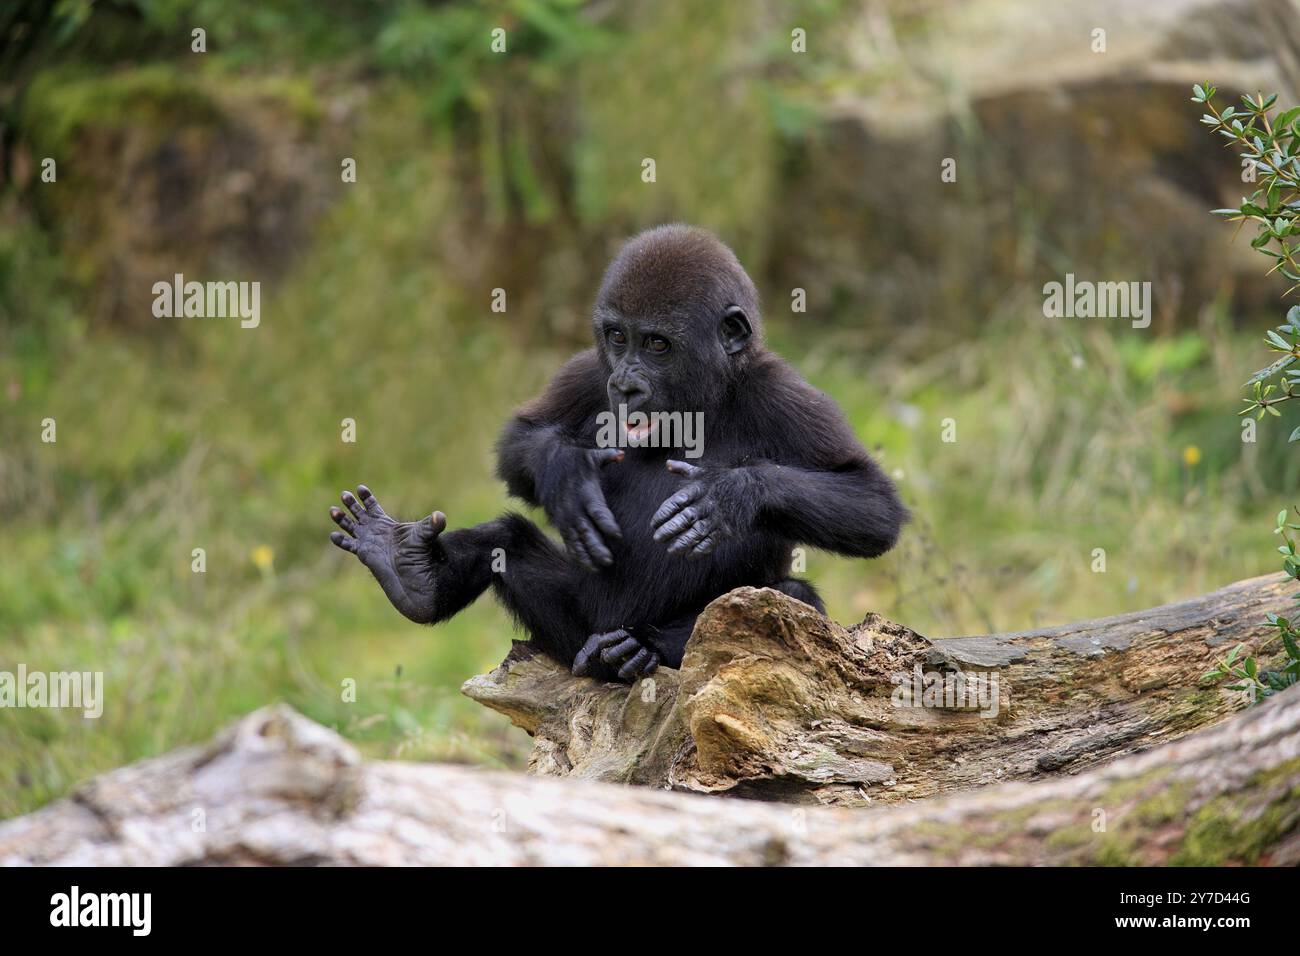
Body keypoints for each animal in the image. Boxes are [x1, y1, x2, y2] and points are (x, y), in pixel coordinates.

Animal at [328, 224, 908, 683]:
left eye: (657, 345)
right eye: (617, 336)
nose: (626, 385)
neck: (708, 397)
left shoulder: (786, 394)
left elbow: (871, 504)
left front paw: (728, 495)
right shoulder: (589, 370)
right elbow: (520, 440)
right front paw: (567, 475)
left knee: (787, 596)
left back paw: (646, 647)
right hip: (573, 637)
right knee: (506, 542)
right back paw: (413, 576)